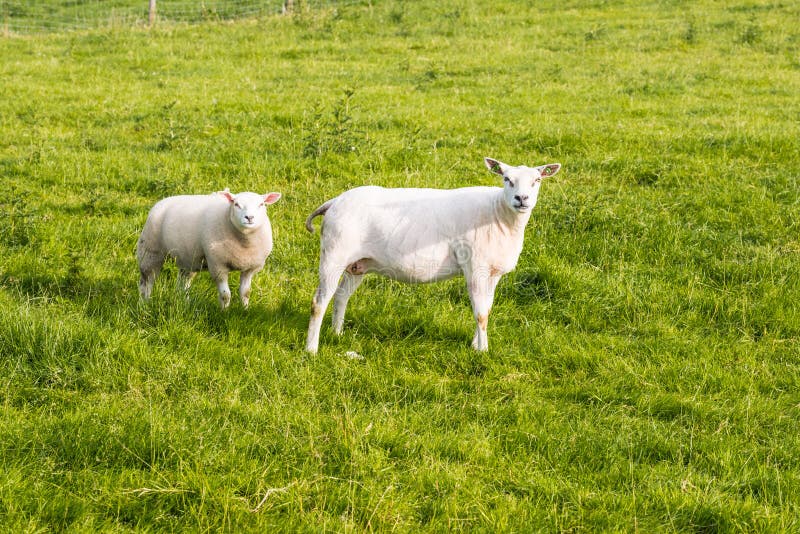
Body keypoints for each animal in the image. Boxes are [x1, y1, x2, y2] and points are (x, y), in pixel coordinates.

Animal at [137, 189, 281, 309]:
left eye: (261, 204)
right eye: (236, 204)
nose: (249, 217)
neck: (244, 242)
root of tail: (164, 200)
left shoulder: (250, 268)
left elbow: (245, 293)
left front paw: (245, 310)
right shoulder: (218, 265)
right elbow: (225, 295)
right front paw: (224, 312)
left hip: (188, 257)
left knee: (183, 283)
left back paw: (184, 303)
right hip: (150, 251)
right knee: (147, 282)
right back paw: (145, 304)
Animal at [304, 157, 561, 353]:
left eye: (537, 180)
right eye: (507, 179)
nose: (522, 199)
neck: (497, 213)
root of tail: (334, 202)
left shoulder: (493, 271)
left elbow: (486, 309)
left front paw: (475, 344)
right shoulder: (475, 266)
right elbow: (480, 314)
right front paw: (483, 352)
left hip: (358, 263)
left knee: (341, 297)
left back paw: (337, 334)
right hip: (334, 253)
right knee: (319, 302)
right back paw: (311, 349)